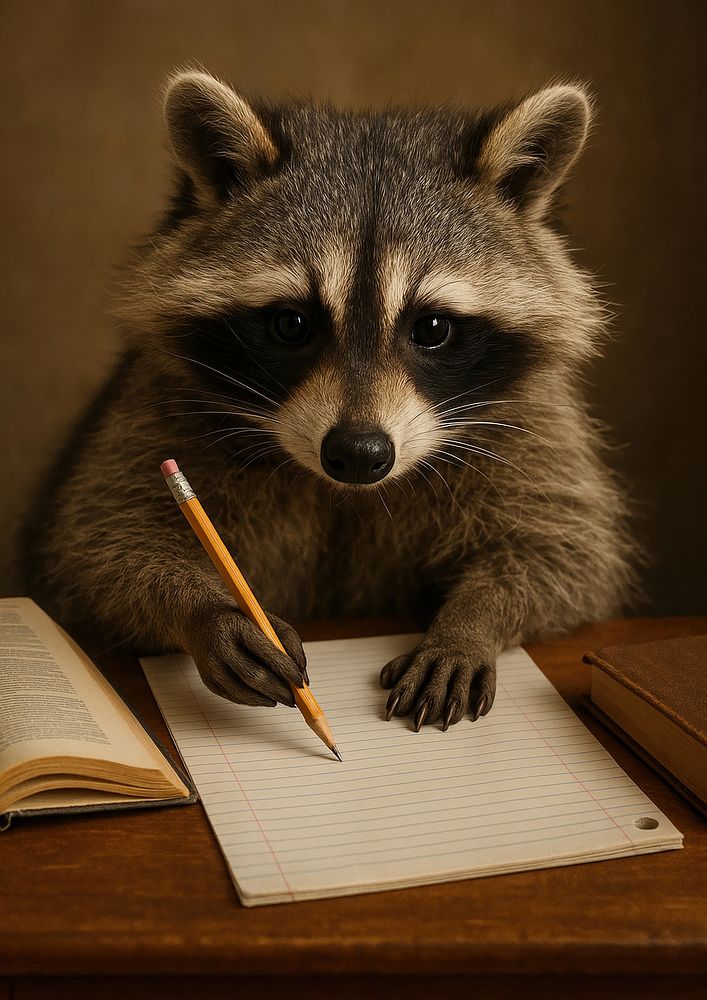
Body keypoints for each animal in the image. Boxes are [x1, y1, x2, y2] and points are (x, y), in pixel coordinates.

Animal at [25, 71, 635, 731]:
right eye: (292, 324)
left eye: (433, 328)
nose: (359, 453)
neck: (348, 491)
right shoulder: (162, 403)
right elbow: (101, 542)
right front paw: (206, 610)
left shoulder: (531, 419)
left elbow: (564, 549)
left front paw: (469, 622)